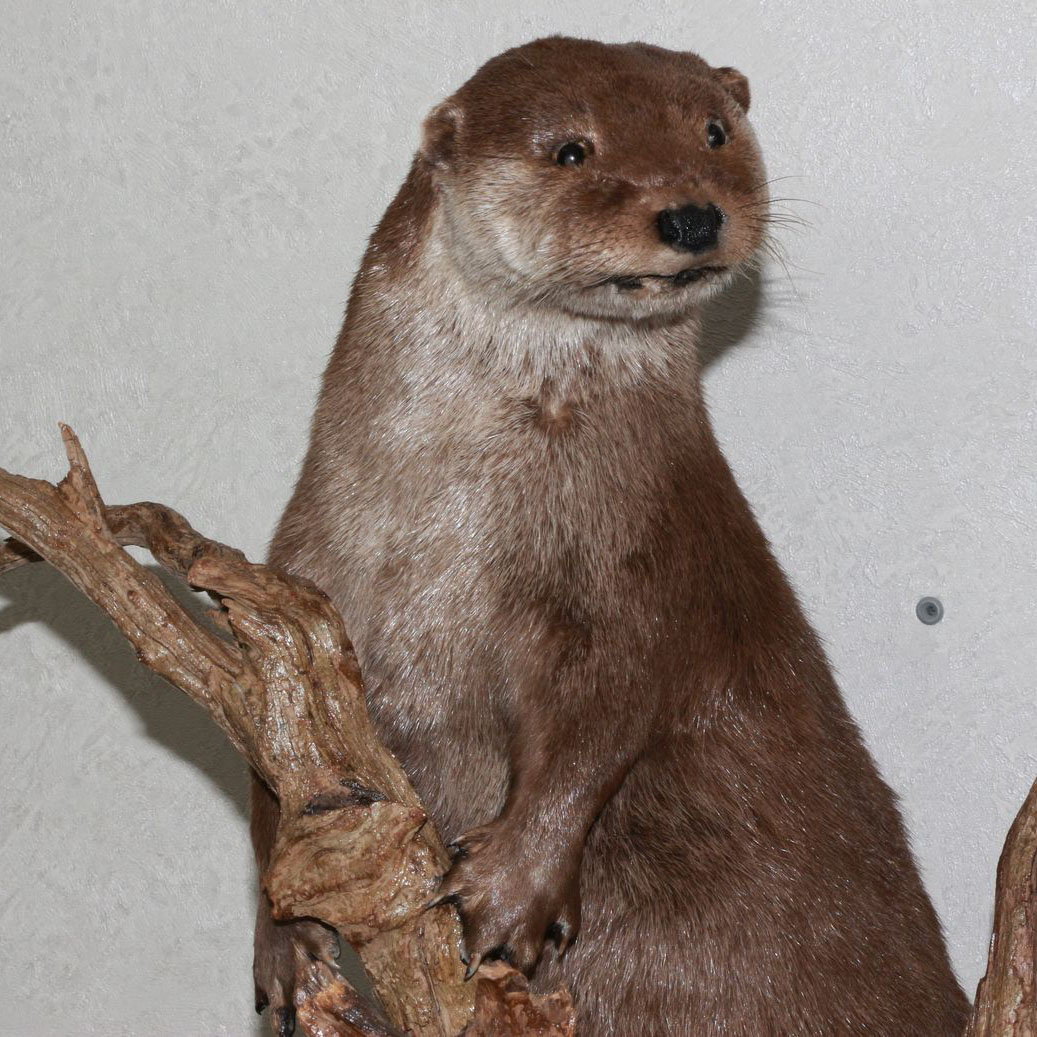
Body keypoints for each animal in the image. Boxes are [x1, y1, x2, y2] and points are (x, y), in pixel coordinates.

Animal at [251, 36, 969, 1036]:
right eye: (571, 150)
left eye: (713, 130)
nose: (692, 214)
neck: (446, 531)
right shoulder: (306, 566)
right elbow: (270, 758)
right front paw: (284, 938)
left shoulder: (643, 558)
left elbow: (601, 720)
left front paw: (506, 893)